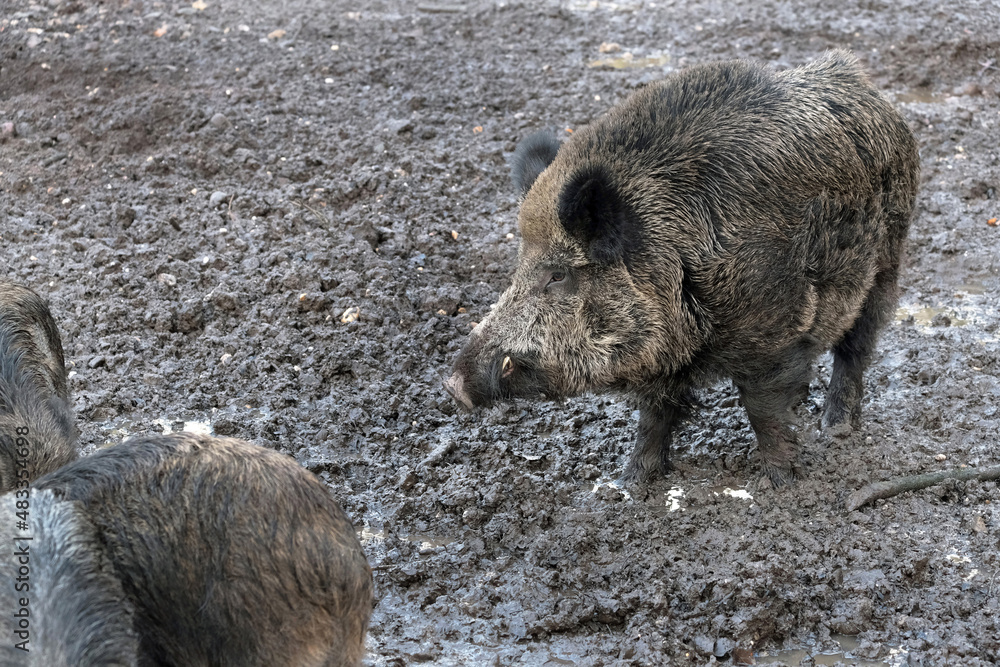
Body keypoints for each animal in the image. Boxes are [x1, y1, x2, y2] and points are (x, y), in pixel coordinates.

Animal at [445, 51, 919, 486]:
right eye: (520, 265)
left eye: (558, 274)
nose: (453, 385)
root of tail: (856, 78)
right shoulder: (662, 359)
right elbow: (654, 415)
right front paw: (632, 482)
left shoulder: (770, 331)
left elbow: (762, 409)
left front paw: (780, 482)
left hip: (886, 260)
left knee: (856, 345)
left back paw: (835, 428)